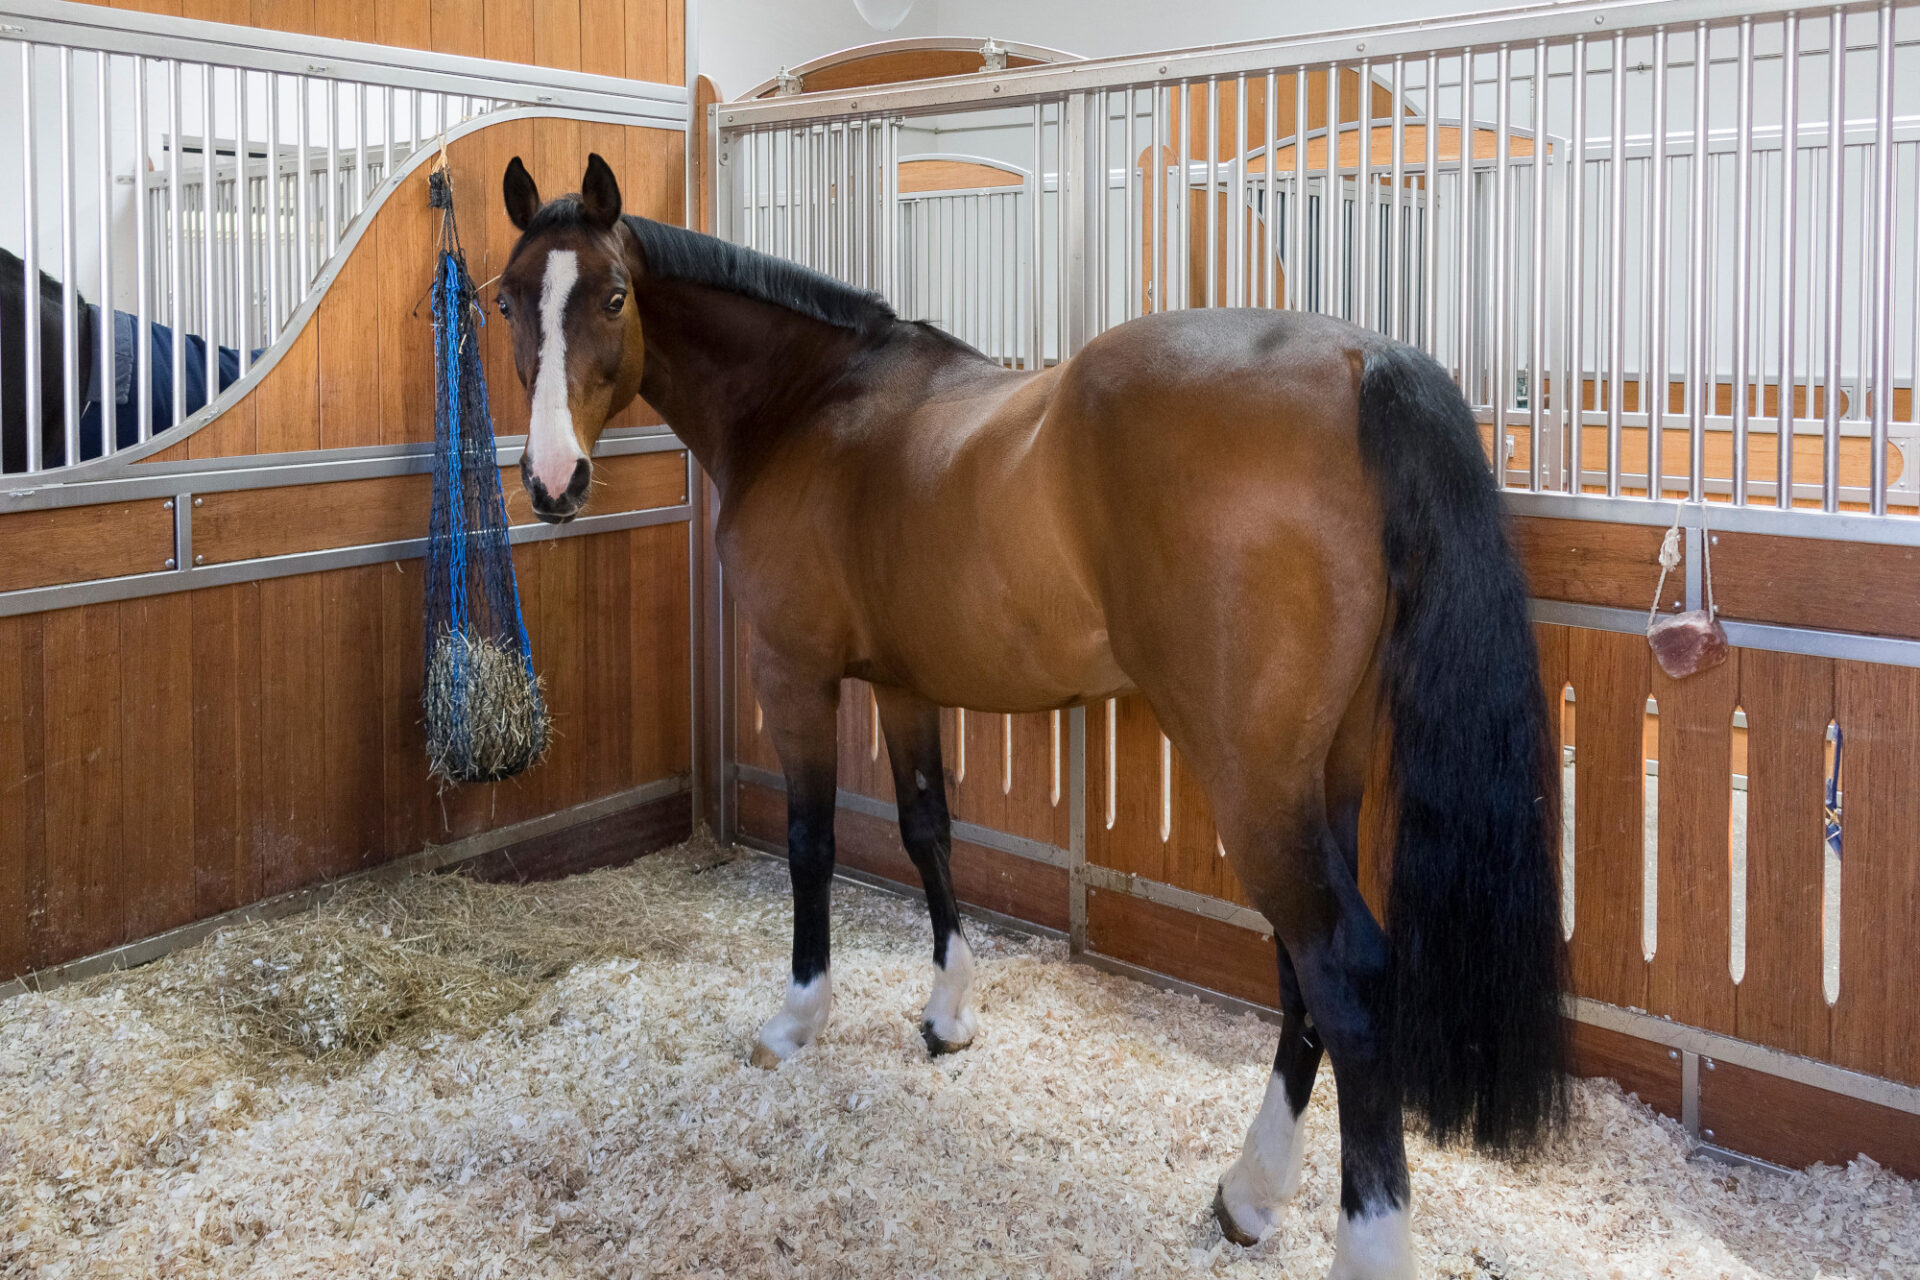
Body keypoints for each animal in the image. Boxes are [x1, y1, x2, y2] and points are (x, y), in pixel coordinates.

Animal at [494, 153, 1566, 1278]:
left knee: (1342, 970)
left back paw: (1353, 1232)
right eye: (507, 300)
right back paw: (1250, 1190)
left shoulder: (792, 673)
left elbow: (811, 841)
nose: (552, 480)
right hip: (1328, 768)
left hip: (1253, 781)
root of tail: (1364, 360)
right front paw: (947, 1014)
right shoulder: (906, 683)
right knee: (1298, 968)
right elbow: (928, 828)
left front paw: (797, 1018)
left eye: (615, 295)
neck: (809, 404)